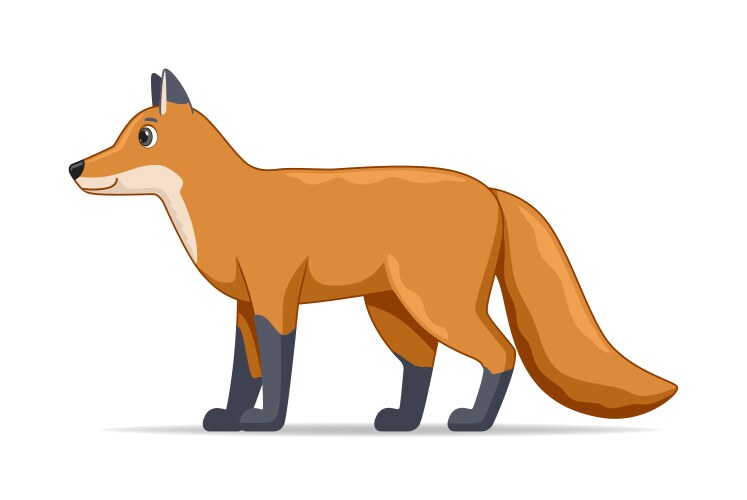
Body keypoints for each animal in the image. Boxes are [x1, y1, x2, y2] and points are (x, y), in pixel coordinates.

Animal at [70, 69, 677, 432]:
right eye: (122, 132)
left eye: (143, 137)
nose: (75, 166)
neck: (229, 203)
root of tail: (490, 189)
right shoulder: (245, 306)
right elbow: (246, 371)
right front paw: (232, 416)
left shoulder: (275, 300)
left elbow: (278, 370)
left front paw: (267, 424)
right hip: (393, 310)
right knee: (423, 363)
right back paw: (405, 421)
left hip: (437, 305)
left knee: (500, 353)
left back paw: (474, 422)